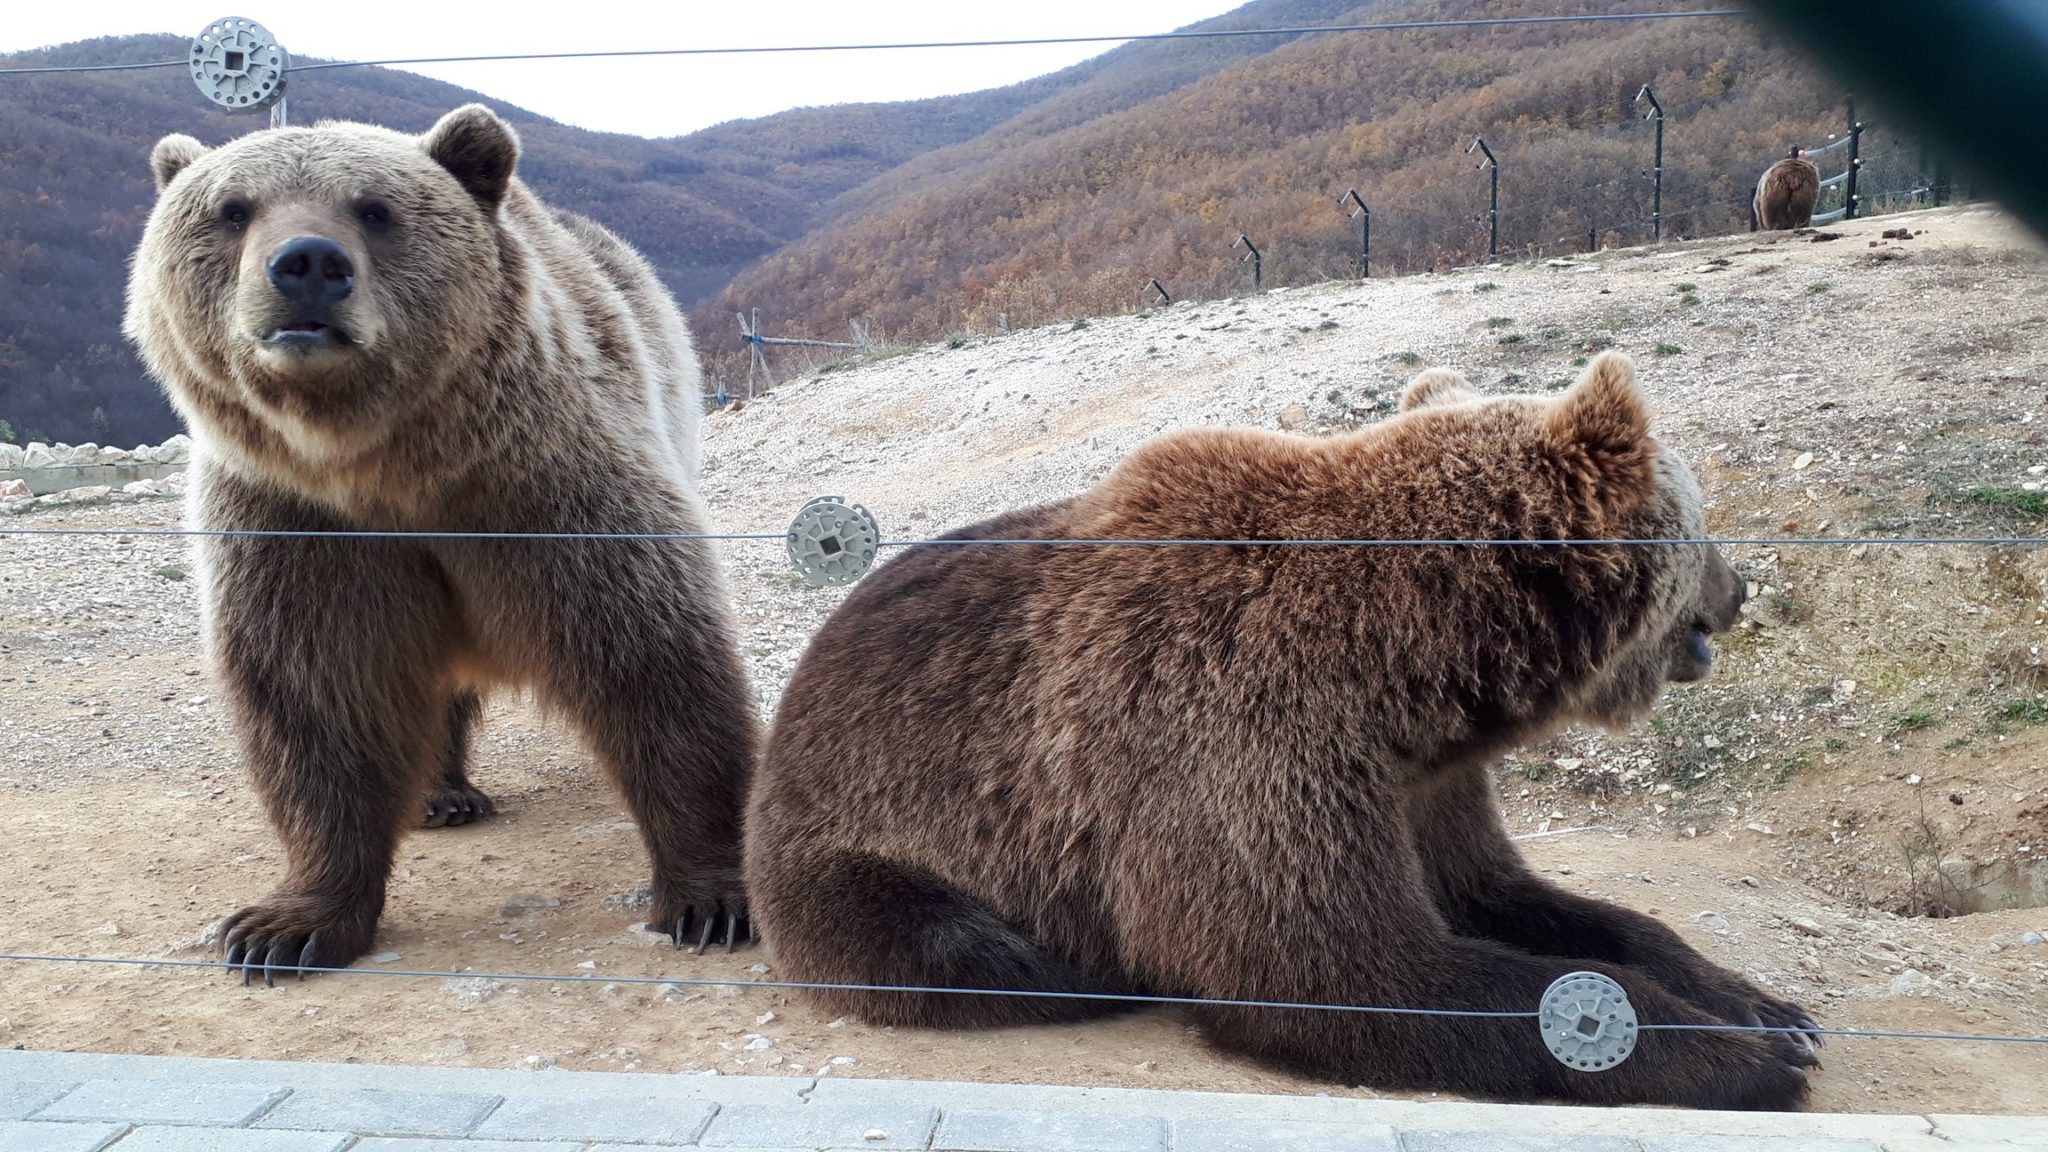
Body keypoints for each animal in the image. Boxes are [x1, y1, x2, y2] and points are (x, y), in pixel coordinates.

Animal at [124, 104, 760, 982]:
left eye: (373, 208)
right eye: (234, 208)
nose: (308, 263)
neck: (388, 469)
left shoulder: (545, 490)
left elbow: (650, 659)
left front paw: (711, 898)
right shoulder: (300, 526)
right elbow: (319, 696)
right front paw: (283, 927)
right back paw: (442, 793)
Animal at [743, 352, 1821, 1110]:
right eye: (1703, 522)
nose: (1738, 590)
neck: (1412, 660)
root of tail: (797, 686)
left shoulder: (1421, 778)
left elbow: (1513, 896)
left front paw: (1768, 1007)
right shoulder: (1241, 736)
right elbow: (1344, 970)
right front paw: (1745, 1055)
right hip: (864, 833)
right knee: (958, 946)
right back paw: (1092, 975)